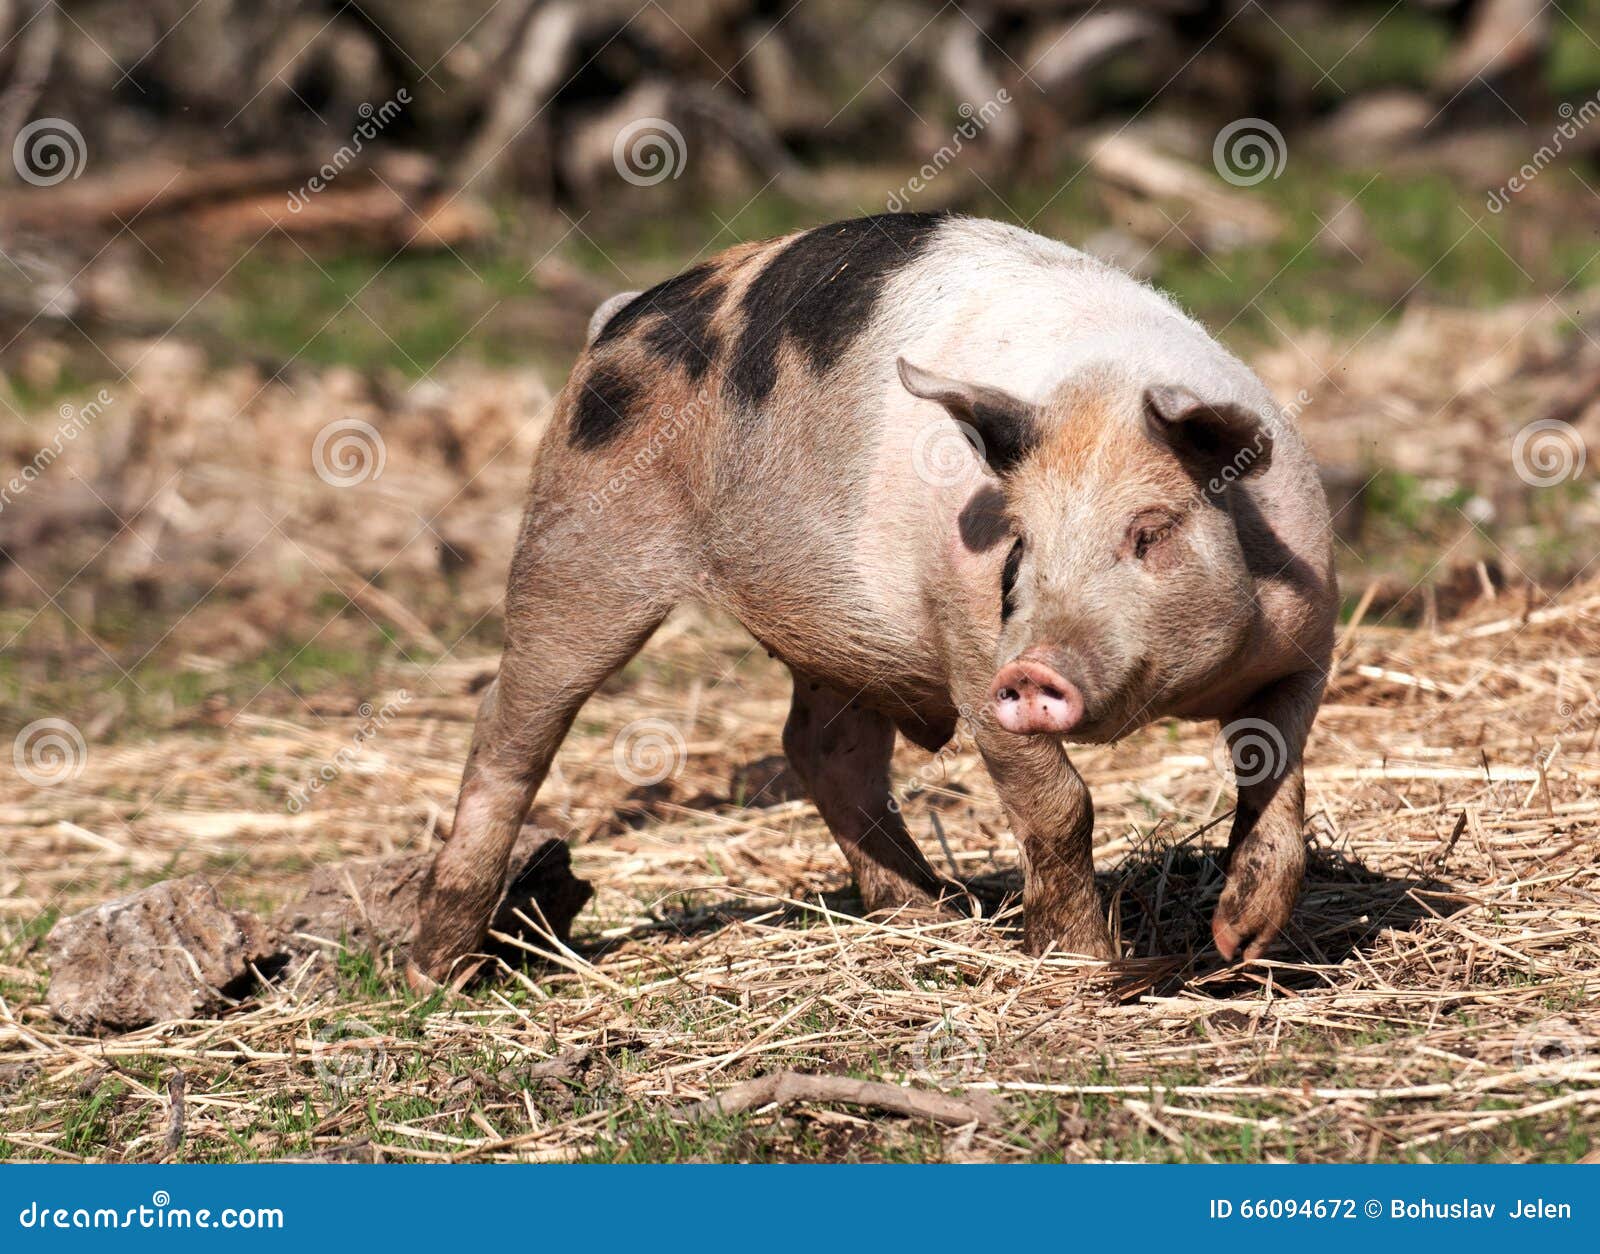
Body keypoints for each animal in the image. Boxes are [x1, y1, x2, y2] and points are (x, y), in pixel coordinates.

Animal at [411, 212, 1337, 984]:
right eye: (1020, 544)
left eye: (1149, 531)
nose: (1033, 672)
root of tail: (618, 318)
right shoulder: (971, 655)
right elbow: (1059, 807)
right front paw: (1085, 964)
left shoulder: (1307, 647)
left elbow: (1276, 770)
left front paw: (1241, 946)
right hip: (576, 542)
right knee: (510, 728)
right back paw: (439, 972)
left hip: (835, 638)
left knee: (822, 747)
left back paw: (935, 915)